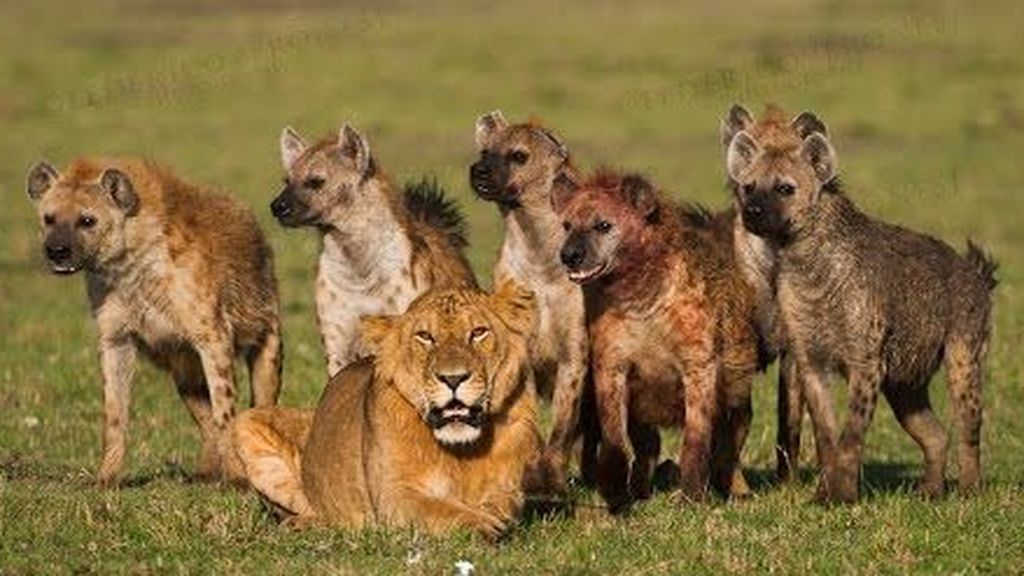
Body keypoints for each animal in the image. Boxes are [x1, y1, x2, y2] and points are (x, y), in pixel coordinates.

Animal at [231, 281, 540, 539]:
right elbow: (442, 510)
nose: (453, 379)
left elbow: (503, 503)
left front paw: (493, 515)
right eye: (425, 336)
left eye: (478, 333)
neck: (462, 452)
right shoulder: (395, 496)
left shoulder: (509, 487)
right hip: (246, 421)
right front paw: (482, 524)